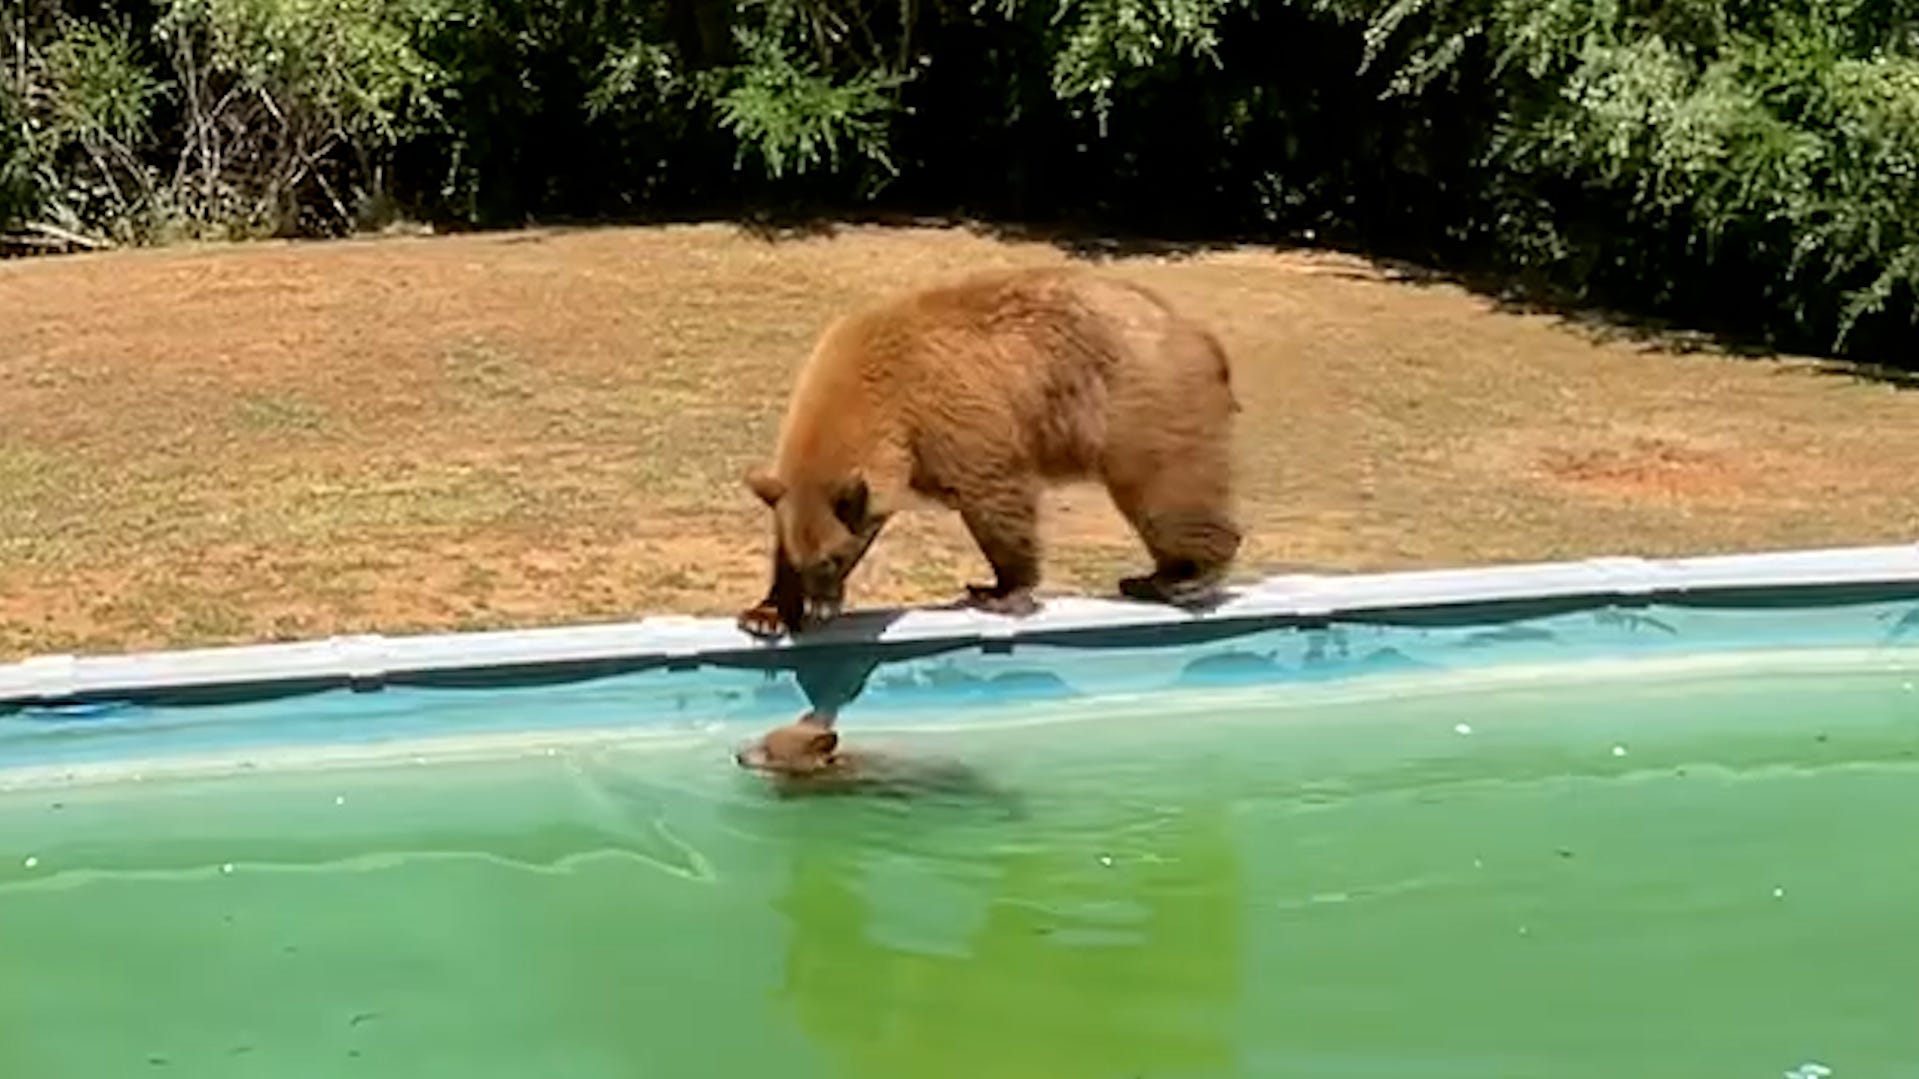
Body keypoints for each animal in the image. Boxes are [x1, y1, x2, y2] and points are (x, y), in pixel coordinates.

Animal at [738, 264, 1241, 638]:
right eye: (806, 561)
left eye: (834, 558)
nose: (819, 613)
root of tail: (1201, 334)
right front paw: (766, 613)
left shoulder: (957, 418)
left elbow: (997, 501)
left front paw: (999, 590)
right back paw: (1155, 577)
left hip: (1138, 405)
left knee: (1167, 492)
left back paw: (1189, 579)